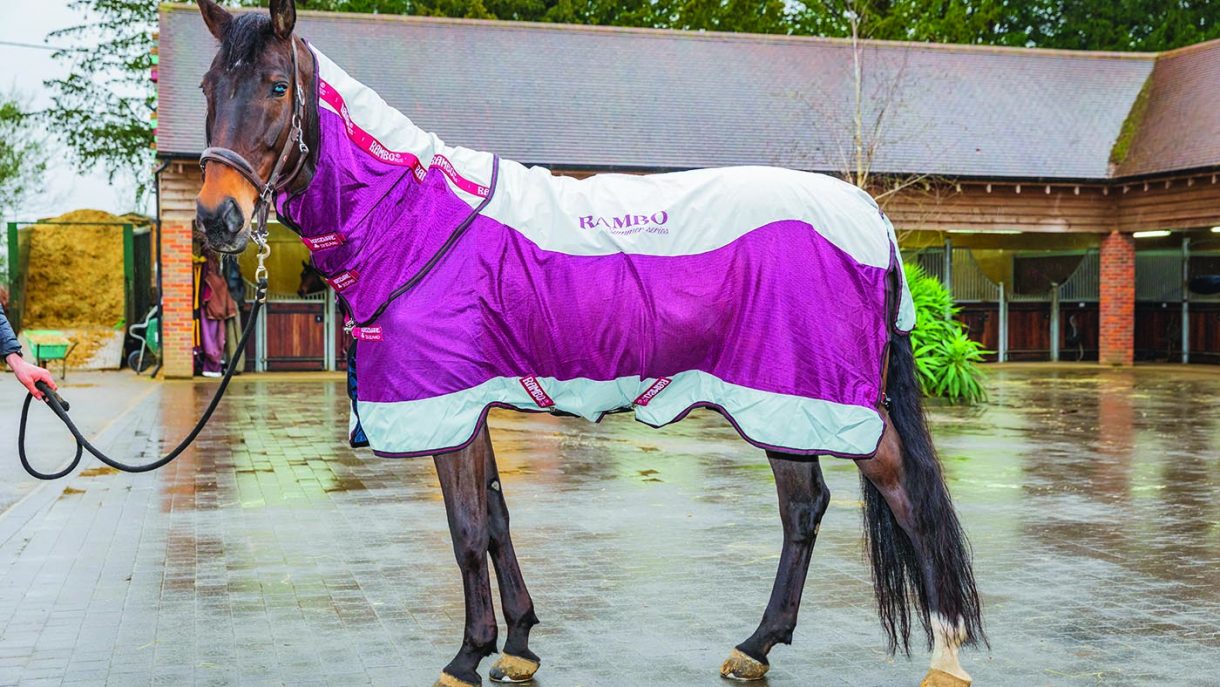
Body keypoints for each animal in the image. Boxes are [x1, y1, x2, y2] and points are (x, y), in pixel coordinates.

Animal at [191, 1, 984, 685]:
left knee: (905, 493)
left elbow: (466, 529)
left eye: (276, 85)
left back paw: (945, 651)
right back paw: (756, 645)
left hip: (818, 397)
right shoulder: (472, 405)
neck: (415, 215)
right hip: (778, 398)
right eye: (207, 86)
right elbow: (498, 520)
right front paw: (517, 643)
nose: (218, 218)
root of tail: (869, 214)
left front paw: (467, 655)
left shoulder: (444, 407)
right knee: (803, 508)